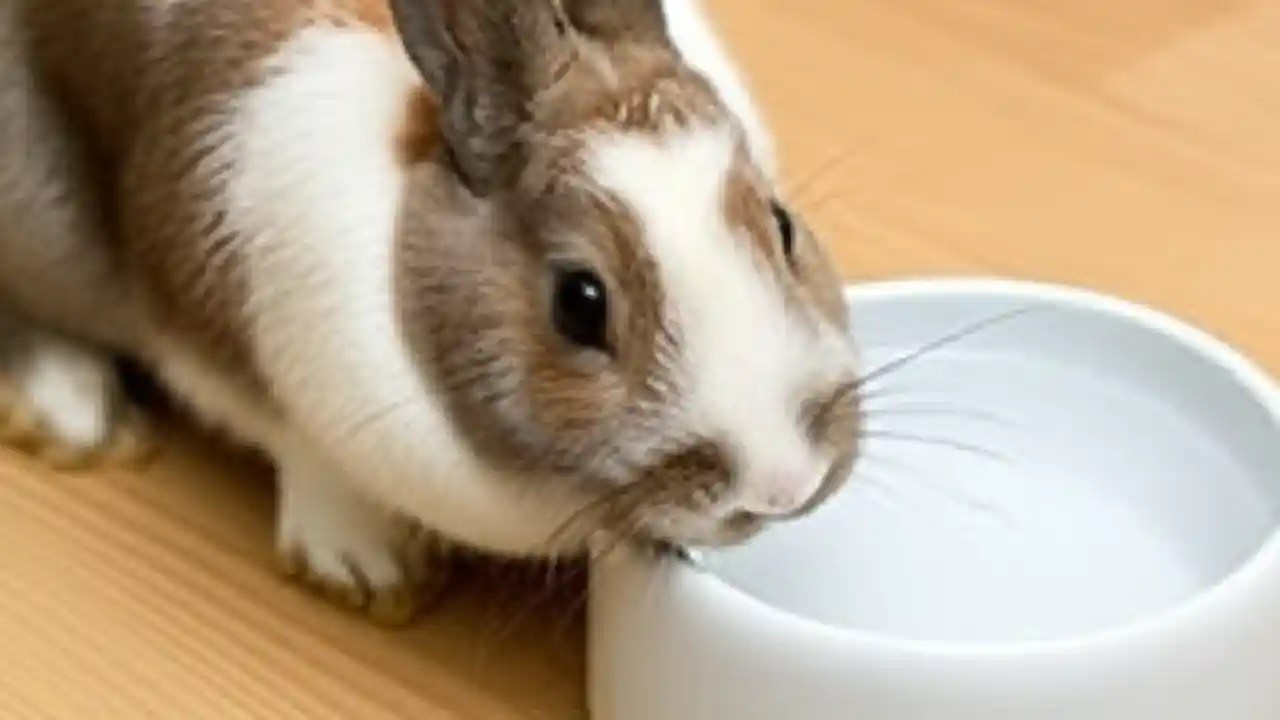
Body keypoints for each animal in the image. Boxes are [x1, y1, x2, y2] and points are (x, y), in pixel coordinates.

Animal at [0, 0, 860, 624]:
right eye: (579, 304)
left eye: (783, 226)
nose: (783, 484)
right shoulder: (208, 322)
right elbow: (299, 448)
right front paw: (365, 570)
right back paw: (74, 415)